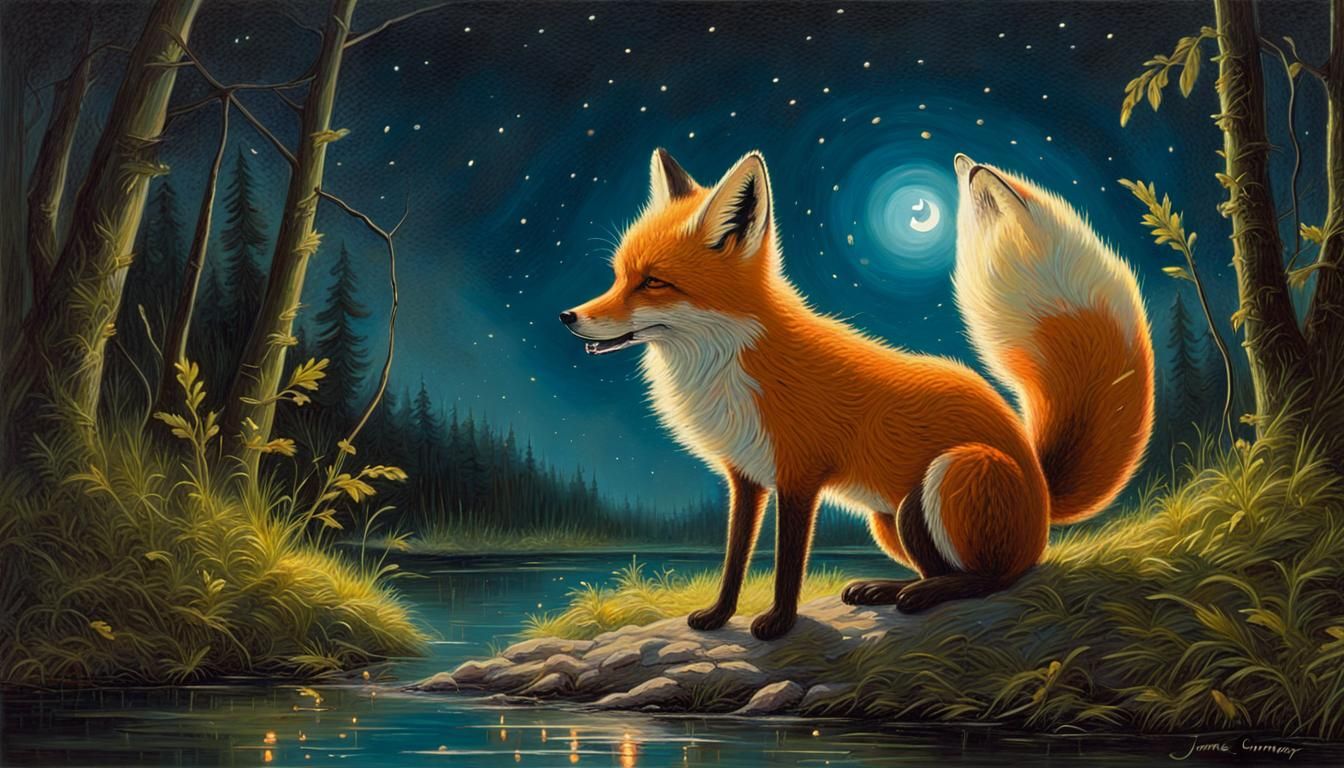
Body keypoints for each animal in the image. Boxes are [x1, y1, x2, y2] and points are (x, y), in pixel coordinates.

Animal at [560, 148, 1154, 640]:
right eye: (618, 277)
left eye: (652, 282)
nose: (569, 317)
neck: (729, 363)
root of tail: (1041, 484)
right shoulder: (745, 477)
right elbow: (734, 558)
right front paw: (718, 616)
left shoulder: (800, 475)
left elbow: (787, 564)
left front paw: (777, 623)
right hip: (892, 520)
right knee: (948, 568)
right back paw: (889, 589)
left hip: (952, 475)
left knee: (996, 577)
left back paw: (925, 596)